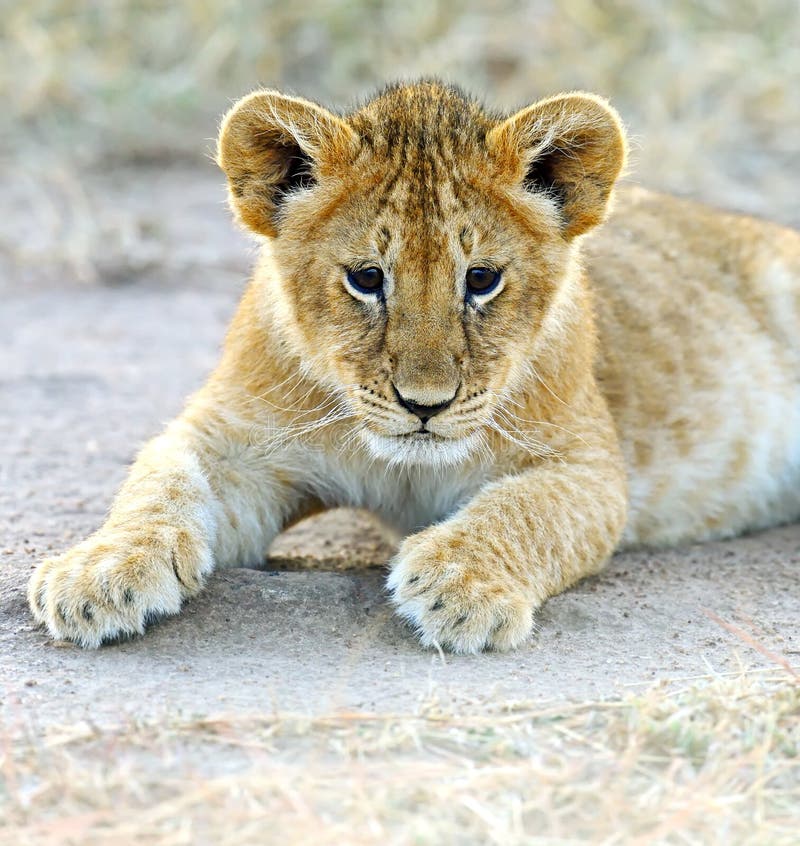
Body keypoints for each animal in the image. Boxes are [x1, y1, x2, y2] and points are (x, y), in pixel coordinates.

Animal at [28, 80, 800, 653]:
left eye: (482, 279)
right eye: (367, 278)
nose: (424, 404)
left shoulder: (589, 467)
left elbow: (525, 510)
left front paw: (458, 582)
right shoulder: (232, 443)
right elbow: (157, 484)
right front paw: (97, 571)